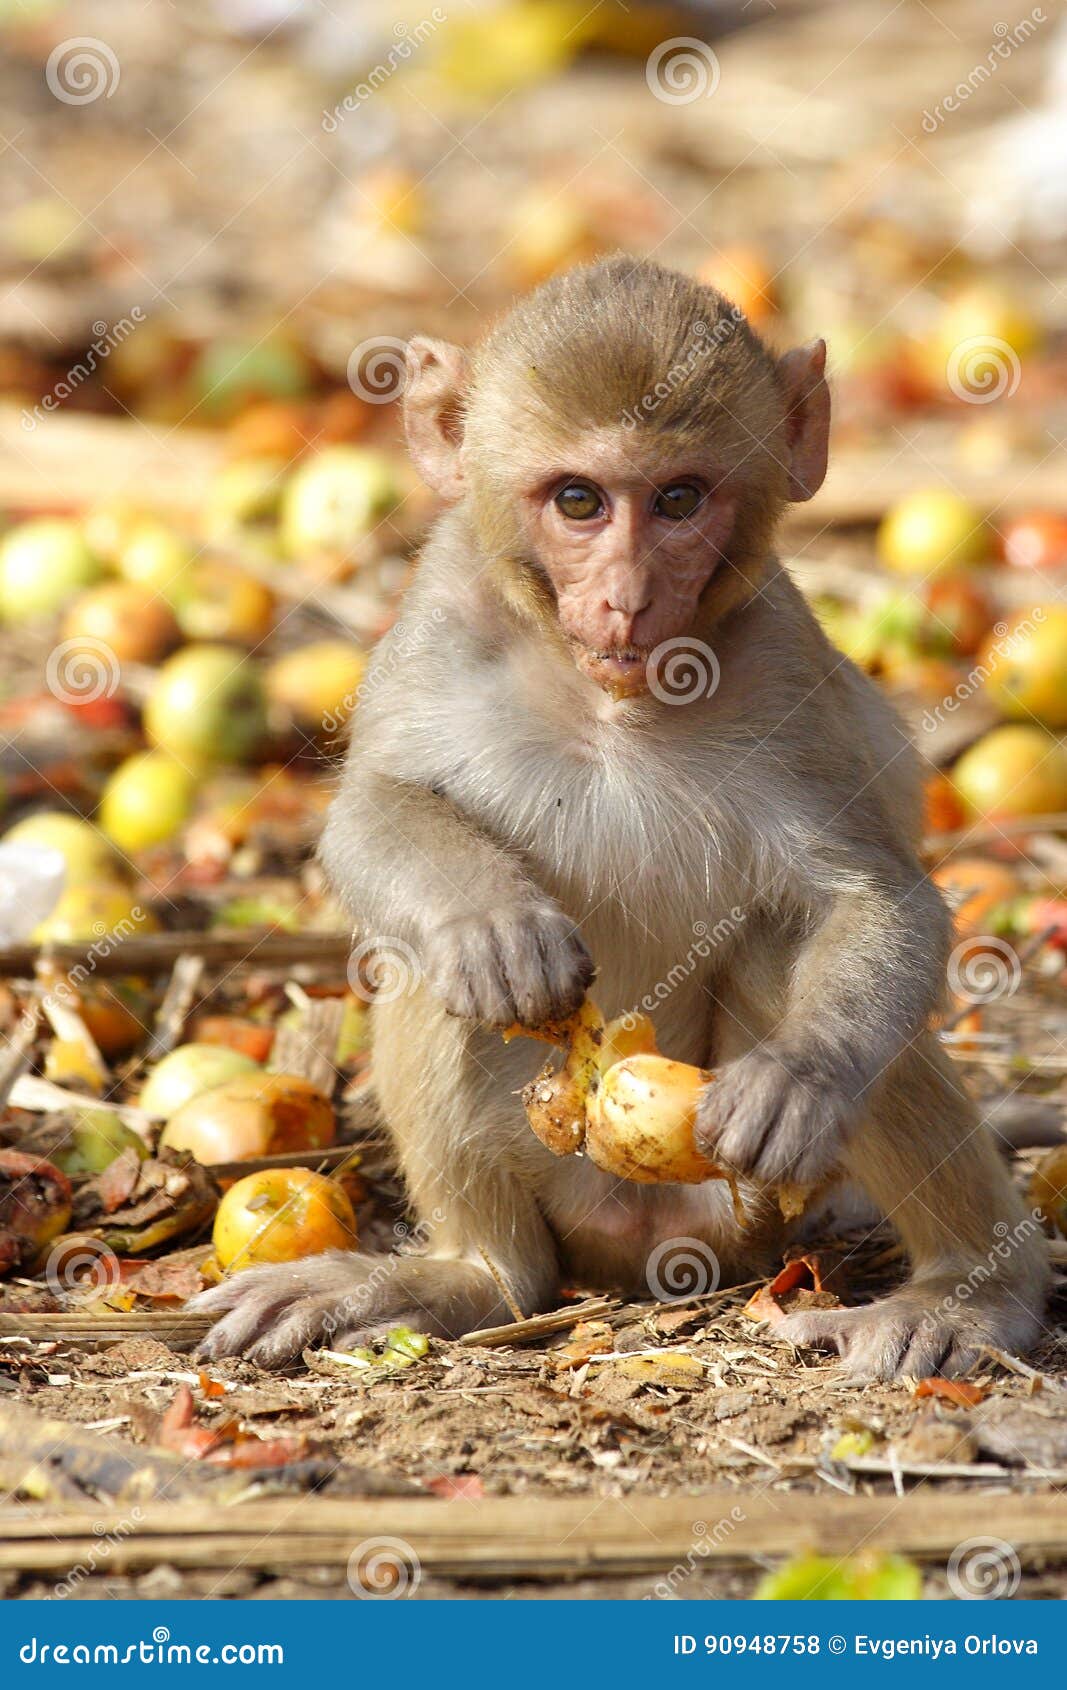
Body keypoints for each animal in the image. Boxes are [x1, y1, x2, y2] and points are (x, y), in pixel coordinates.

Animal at [196, 255, 1049, 1381]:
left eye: (679, 499)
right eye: (578, 500)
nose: (628, 598)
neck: (611, 699)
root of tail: (646, 1245)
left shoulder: (785, 667)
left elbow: (876, 898)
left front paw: (803, 1077)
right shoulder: (439, 609)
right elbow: (377, 810)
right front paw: (489, 925)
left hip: (751, 1210)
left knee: (792, 950)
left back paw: (969, 1292)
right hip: (558, 1187)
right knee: (425, 980)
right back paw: (466, 1272)